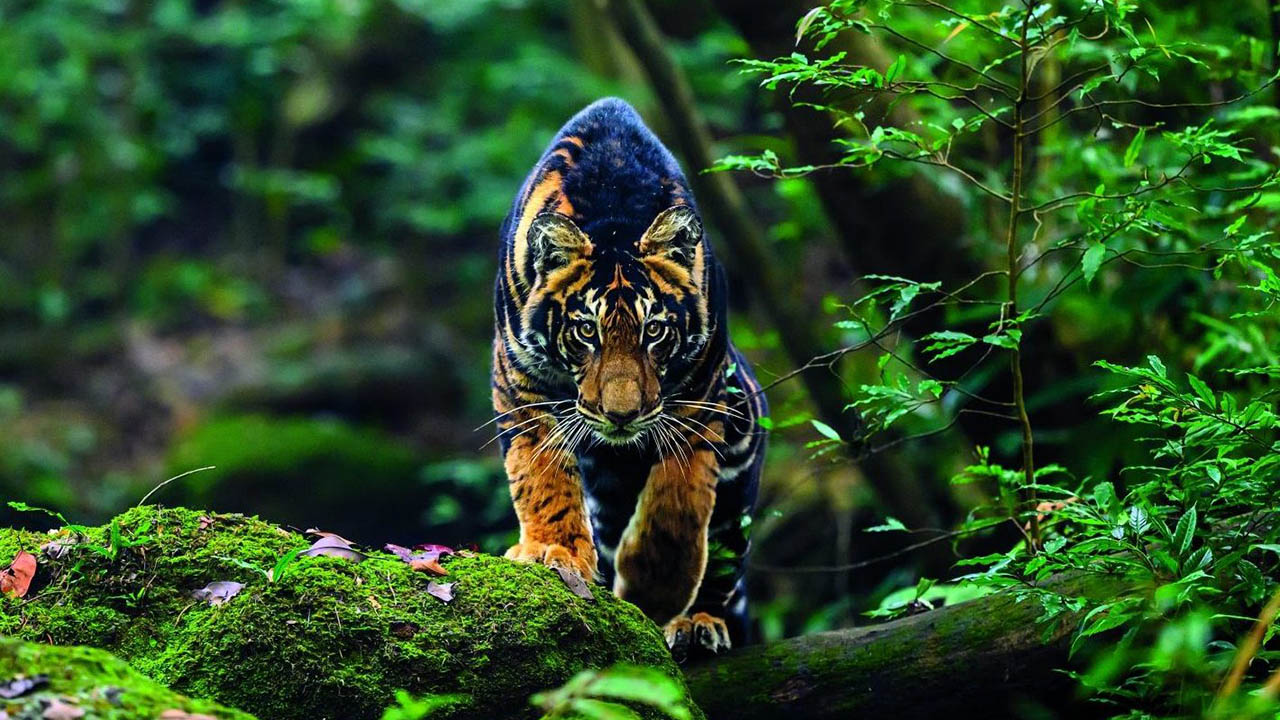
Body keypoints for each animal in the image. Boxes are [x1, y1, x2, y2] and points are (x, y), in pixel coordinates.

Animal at [490, 98, 767, 658]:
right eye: (586, 331)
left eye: (653, 331)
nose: (621, 415)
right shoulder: (520, 384)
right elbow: (541, 477)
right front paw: (552, 552)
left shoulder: (701, 396)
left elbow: (679, 503)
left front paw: (655, 589)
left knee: (724, 558)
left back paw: (698, 623)